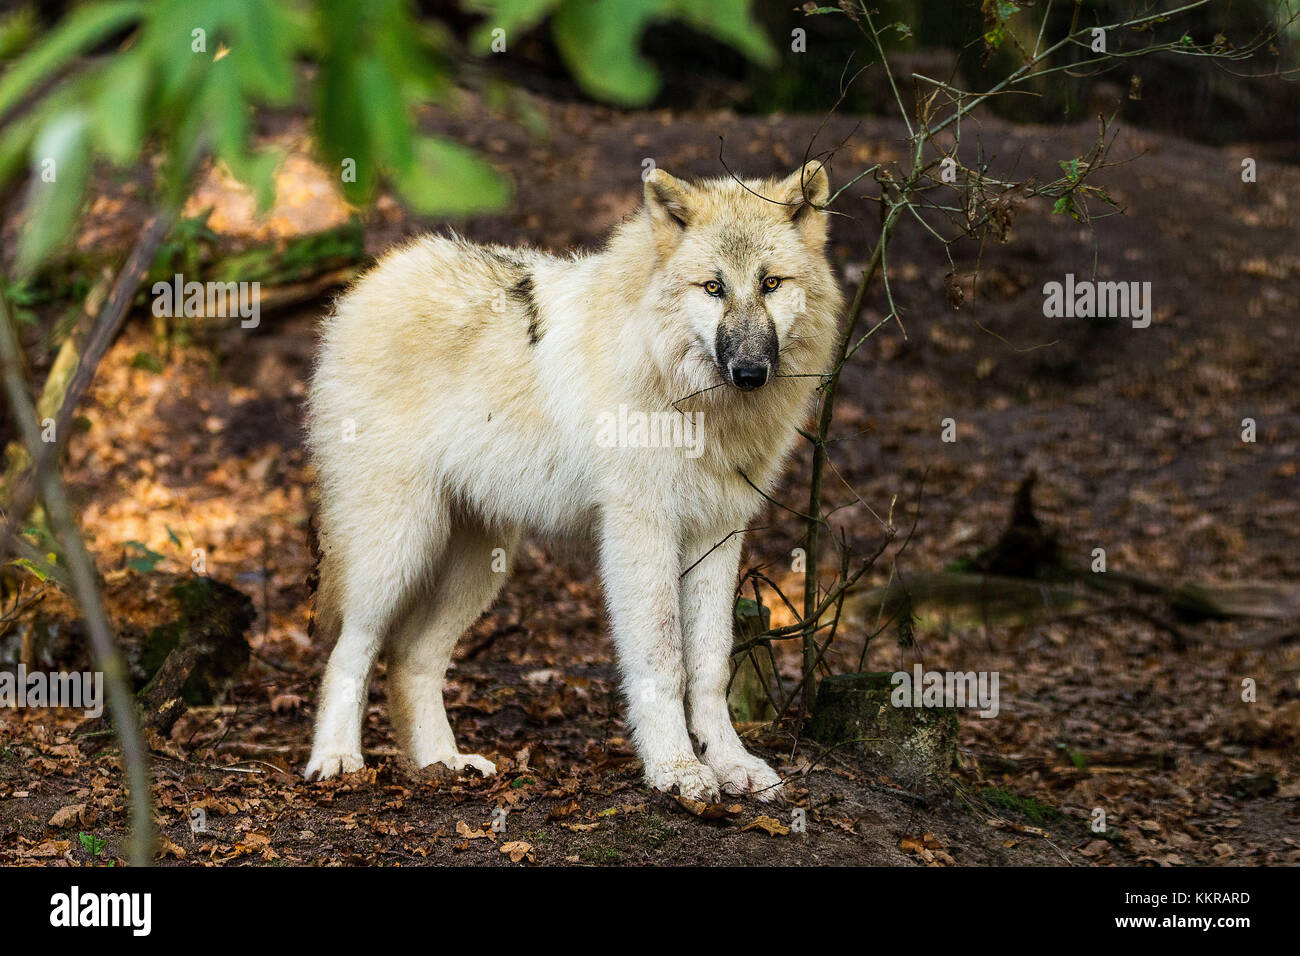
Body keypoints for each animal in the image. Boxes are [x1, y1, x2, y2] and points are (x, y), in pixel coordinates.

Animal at [304, 161, 841, 801]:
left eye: (771, 283)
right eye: (714, 288)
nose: (751, 373)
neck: (690, 397)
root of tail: (371, 280)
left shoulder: (718, 534)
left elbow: (711, 665)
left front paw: (732, 764)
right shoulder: (641, 530)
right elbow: (664, 660)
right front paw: (676, 769)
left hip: (484, 563)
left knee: (411, 657)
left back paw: (444, 763)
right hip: (399, 546)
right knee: (349, 649)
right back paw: (336, 760)